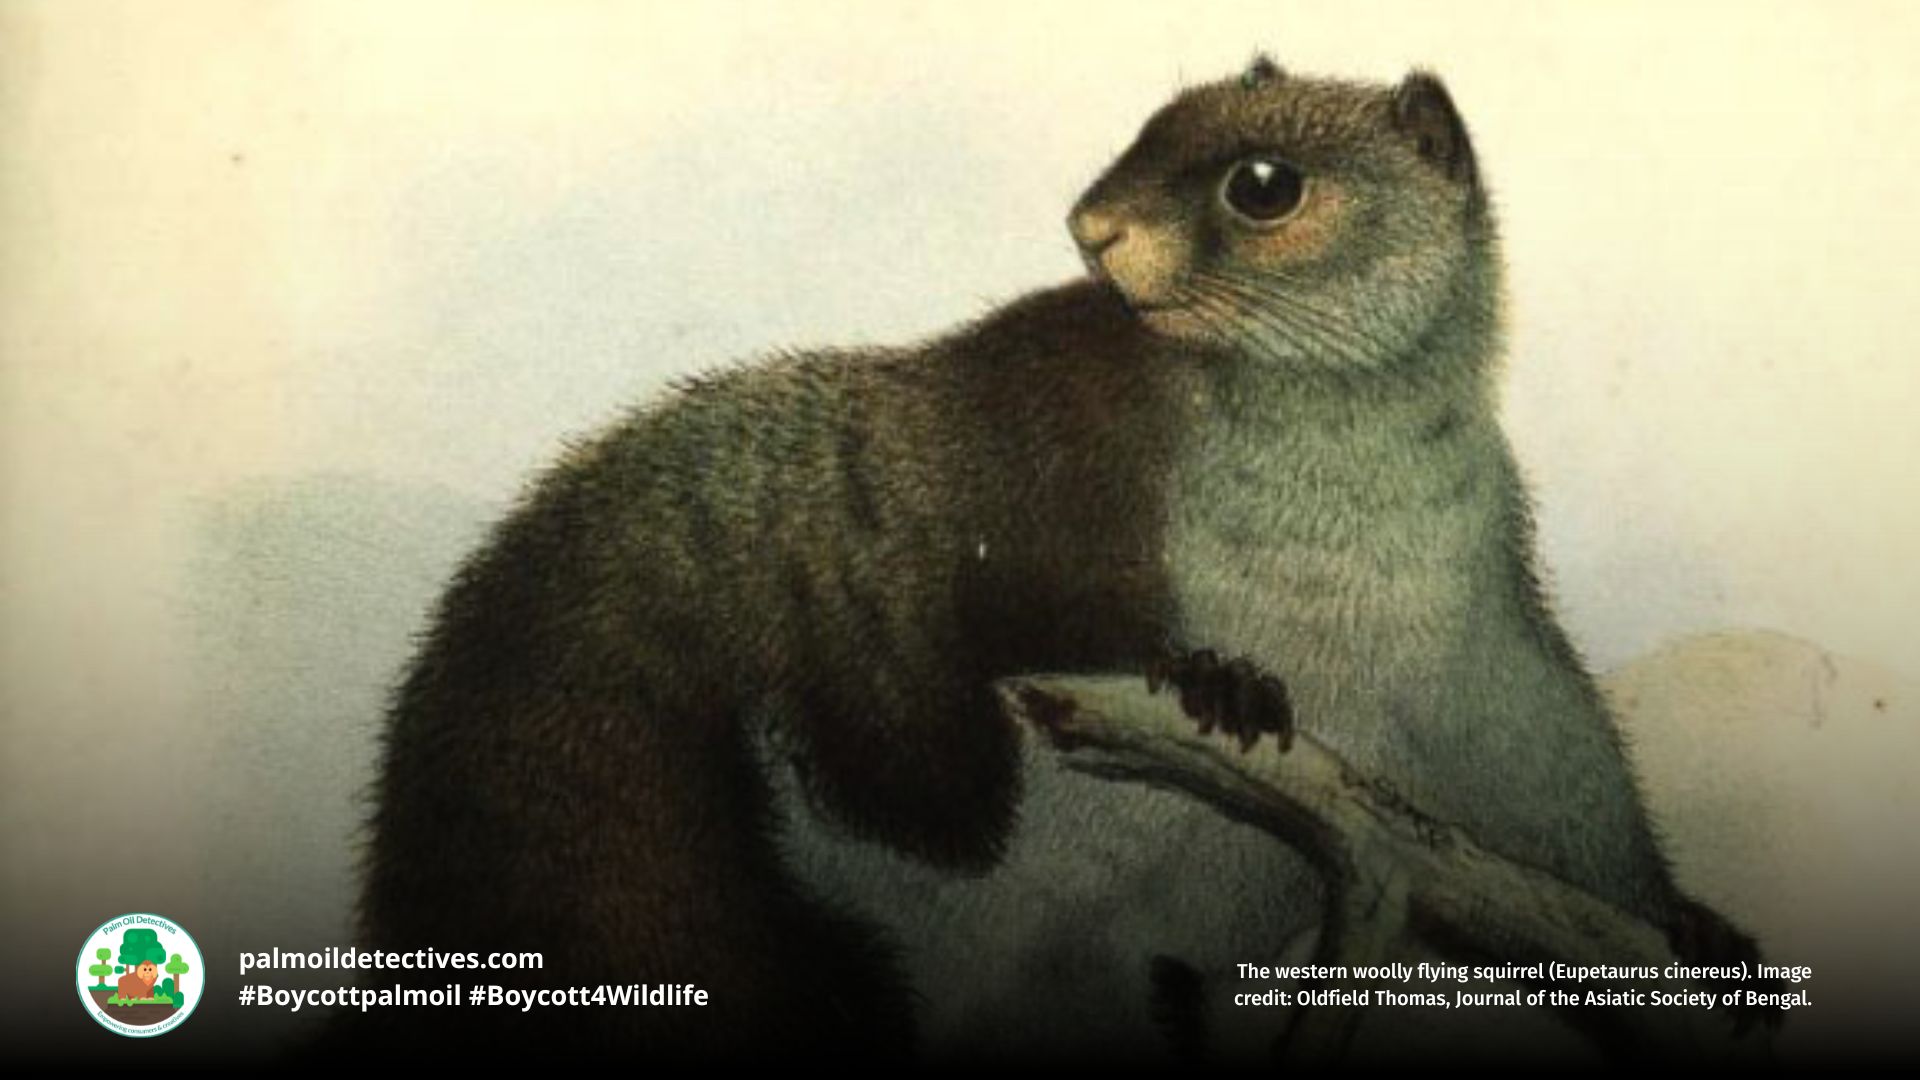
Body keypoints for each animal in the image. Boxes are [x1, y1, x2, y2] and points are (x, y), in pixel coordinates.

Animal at [348, 58, 1761, 1064]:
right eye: (1146, 123)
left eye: (1263, 181)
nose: (1091, 224)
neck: (1330, 541)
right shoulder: (1026, 482)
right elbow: (997, 622)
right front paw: (1217, 681)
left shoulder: (1493, 642)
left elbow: (1572, 795)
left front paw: (1700, 930)